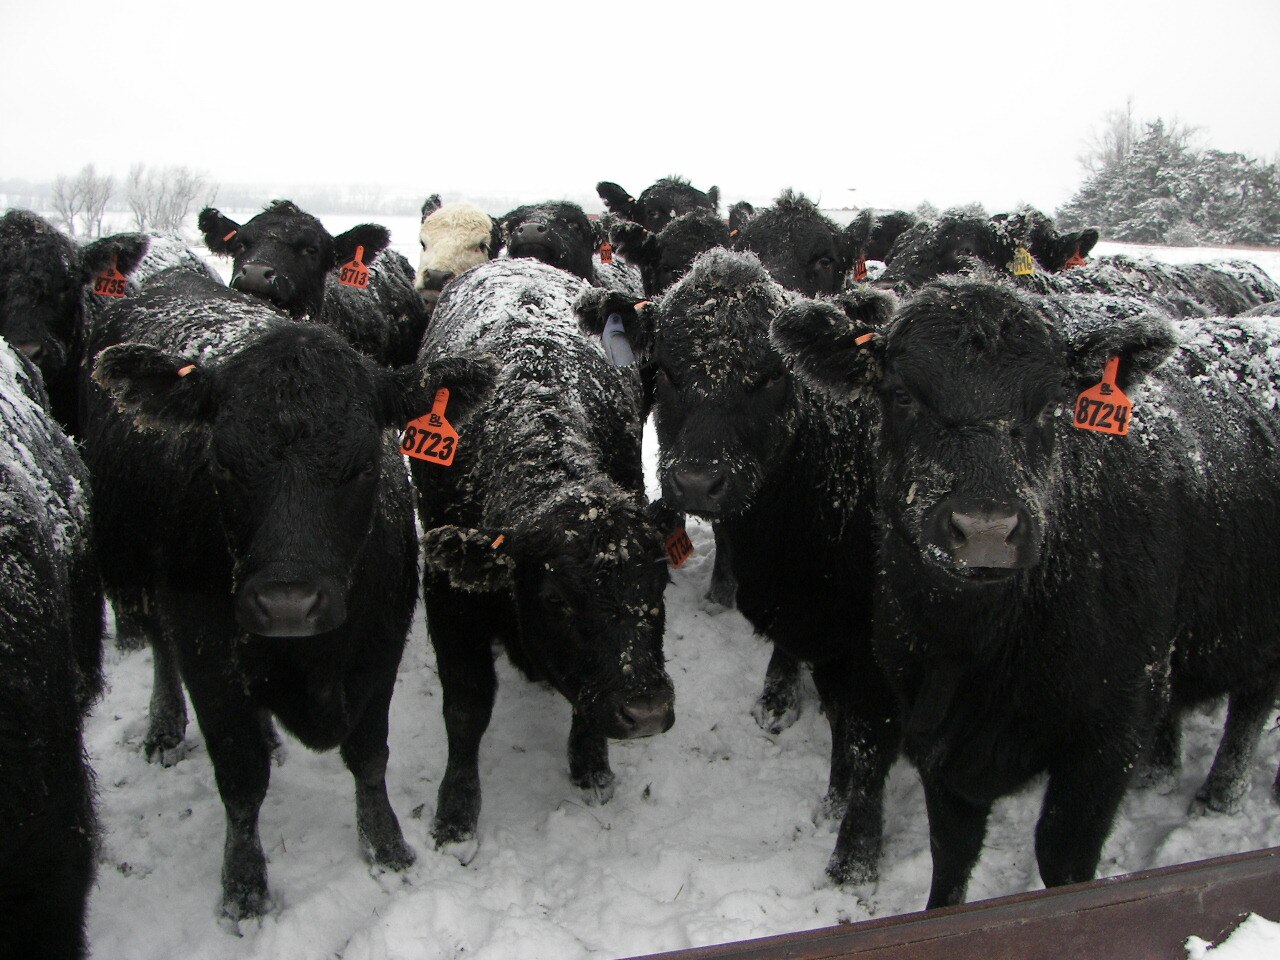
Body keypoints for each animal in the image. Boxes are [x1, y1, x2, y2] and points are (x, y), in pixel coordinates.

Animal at [81, 265, 496, 920]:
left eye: (361, 464)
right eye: (223, 462)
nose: (287, 605)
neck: (312, 661)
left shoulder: (380, 644)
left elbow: (369, 755)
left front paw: (386, 845)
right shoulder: (208, 653)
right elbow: (240, 778)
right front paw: (243, 886)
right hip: (134, 568)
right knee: (159, 649)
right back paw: (164, 727)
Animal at [412, 257, 675, 860]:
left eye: (659, 587)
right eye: (556, 598)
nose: (646, 711)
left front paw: (592, 766)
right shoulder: (446, 594)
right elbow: (465, 707)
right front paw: (455, 816)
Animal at [576, 248, 900, 886]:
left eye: (773, 375)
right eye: (664, 369)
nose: (697, 481)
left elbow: (867, 740)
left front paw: (854, 856)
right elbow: (842, 722)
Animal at [771, 277, 1280, 908]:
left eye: (1048, 406)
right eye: (902, 395)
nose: (986, 529)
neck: (973, 647)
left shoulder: (1107, 738)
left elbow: (1063, 860)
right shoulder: (934, 730)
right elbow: (951, 853)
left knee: (1252, 702)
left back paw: (1219, 795)